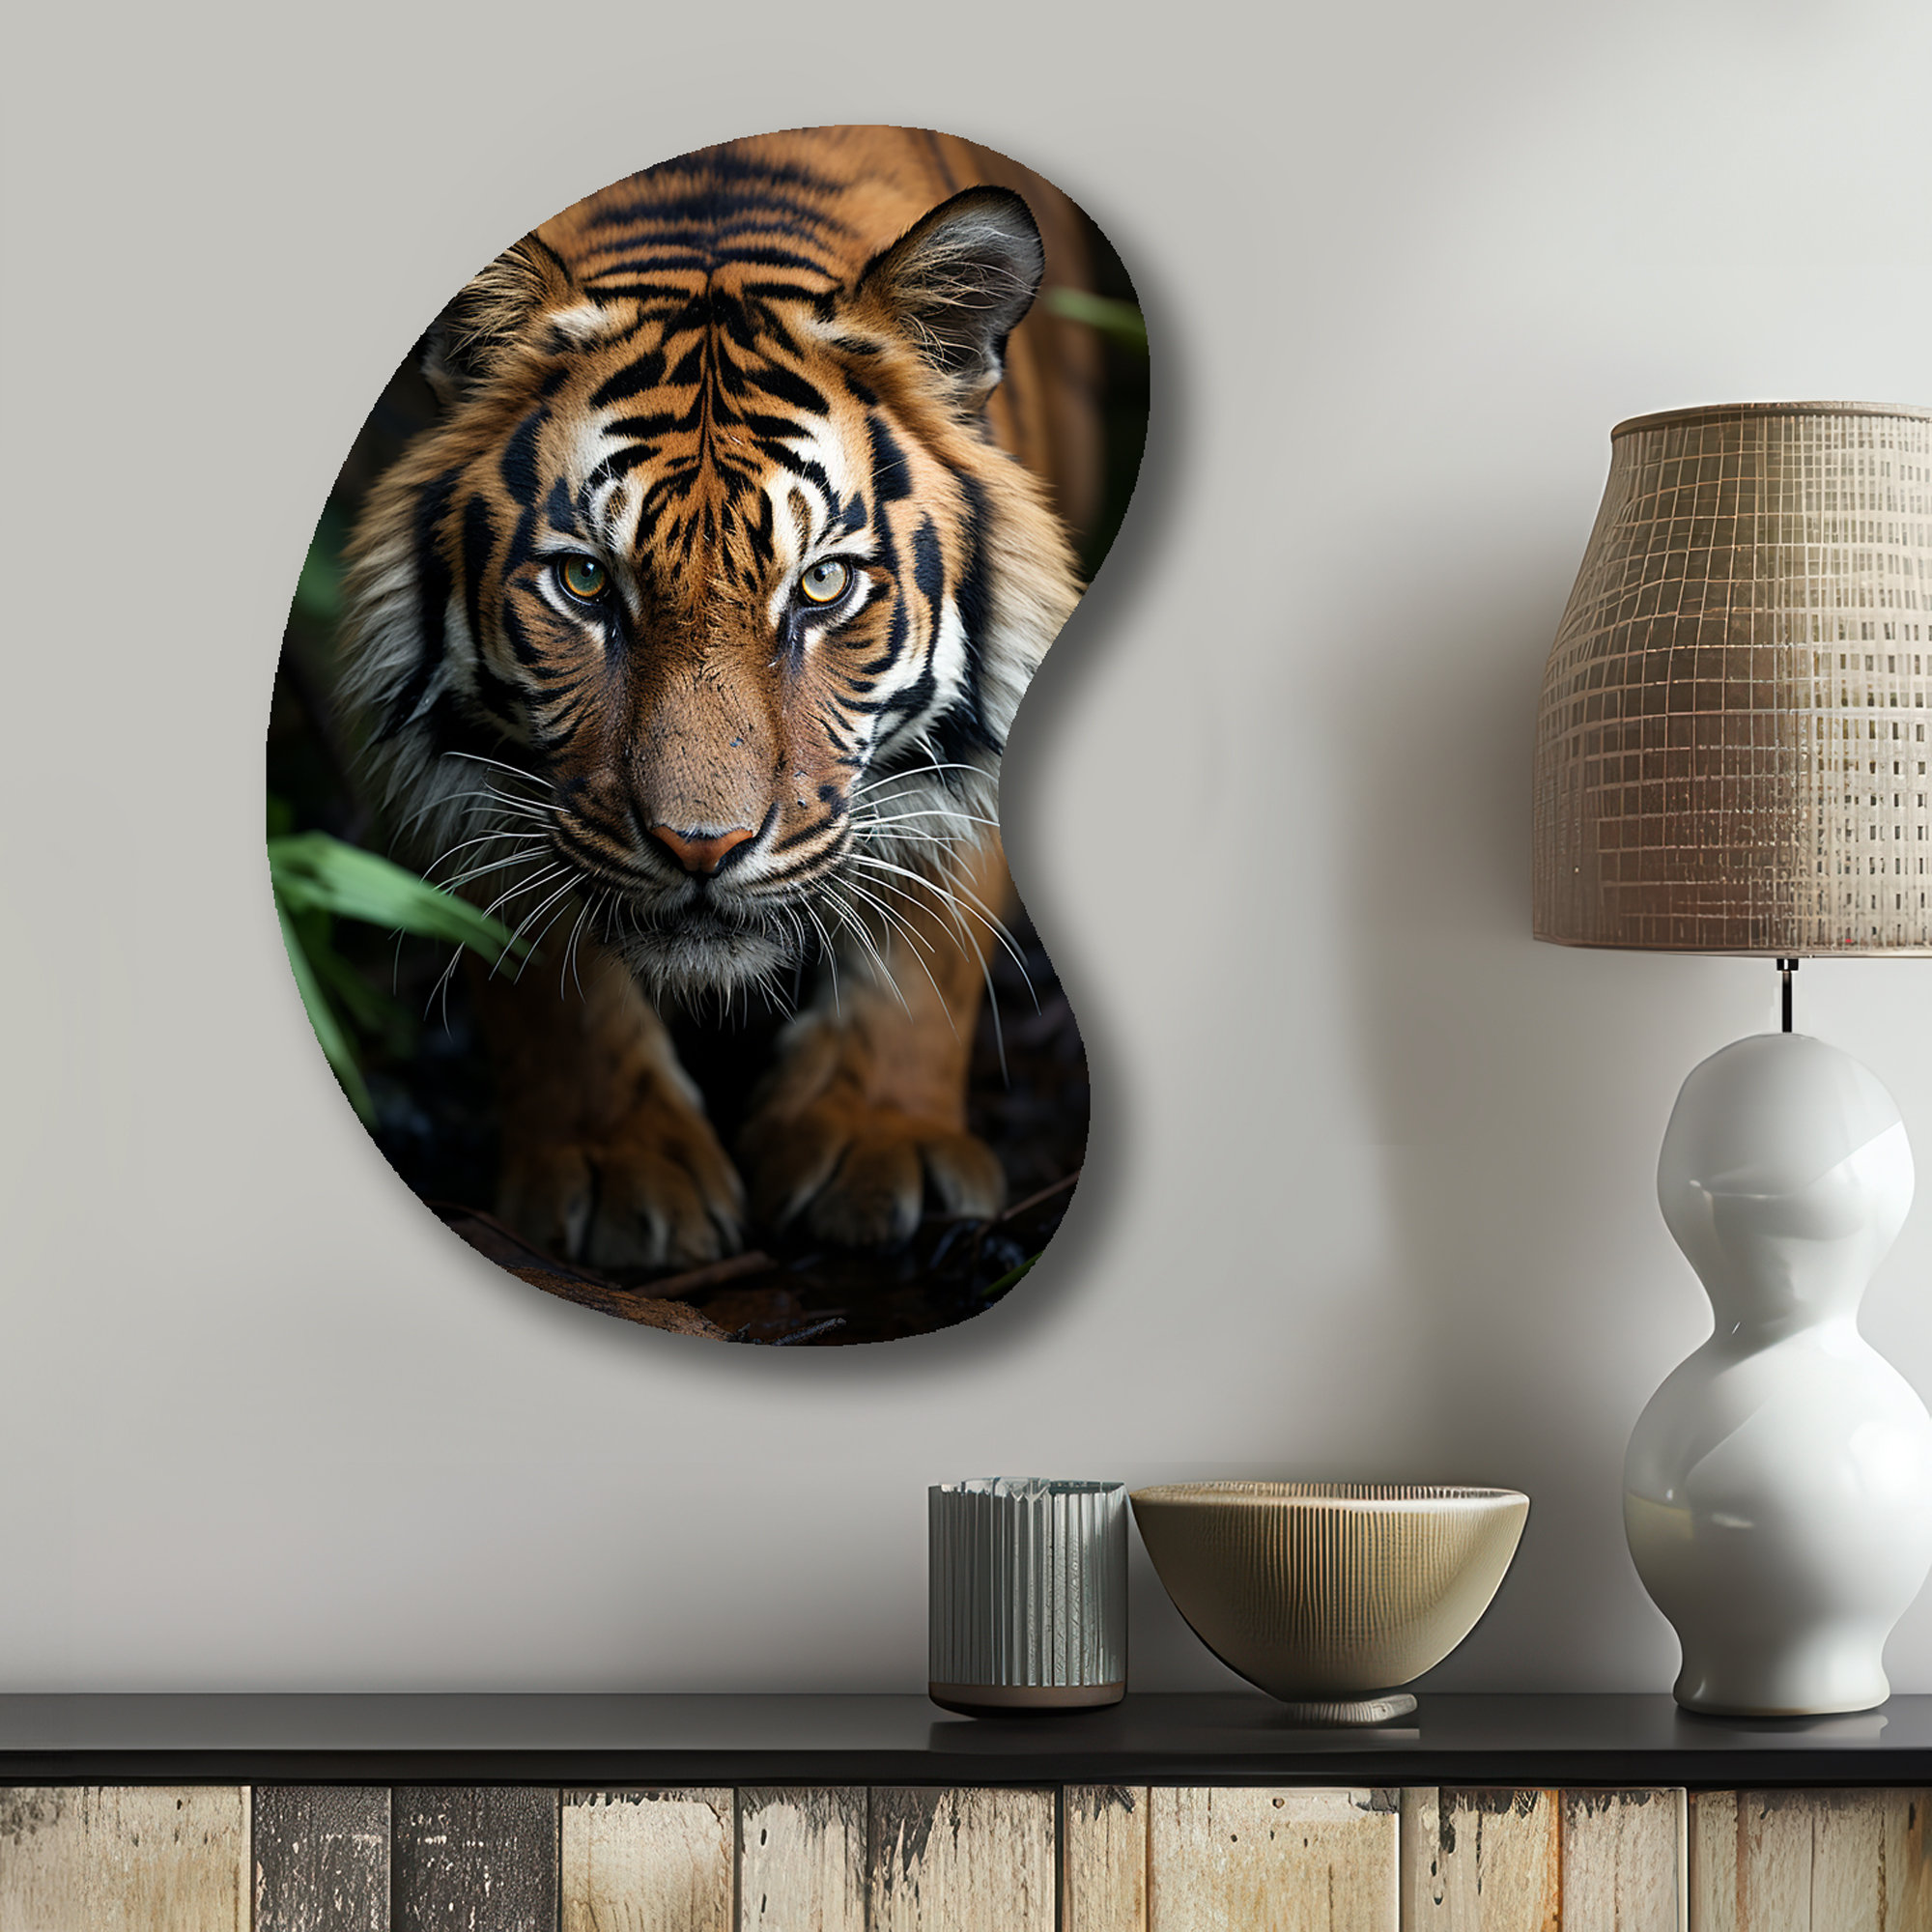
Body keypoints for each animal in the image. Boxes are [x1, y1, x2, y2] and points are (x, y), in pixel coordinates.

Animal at [340, 125, 1103, 1272]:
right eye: (586, 581)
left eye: (822, 585)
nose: (703, 848)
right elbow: (539, 976)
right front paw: (612, 1161)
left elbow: (930, 940)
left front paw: (880, 1139)